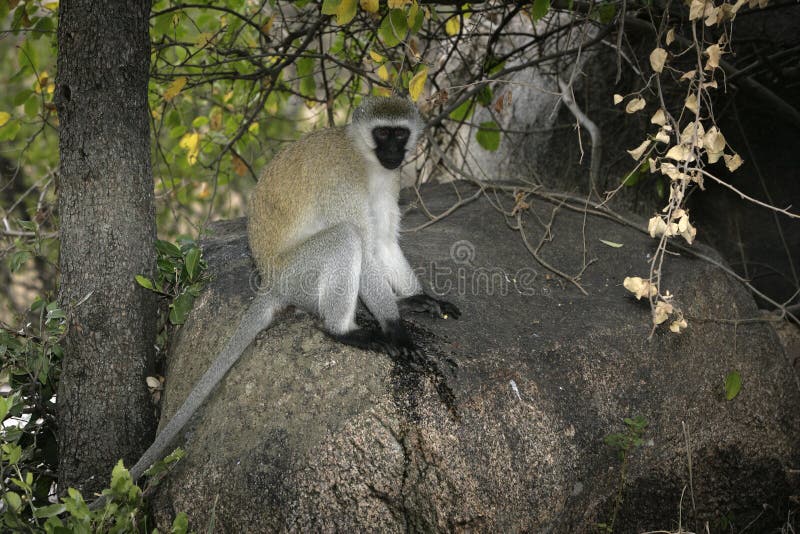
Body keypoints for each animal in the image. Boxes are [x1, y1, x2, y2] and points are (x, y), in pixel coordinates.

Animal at [124, 96, 460, 483]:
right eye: (383, 133)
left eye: (400, 133)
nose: (393, 151)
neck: (365, 157)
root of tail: (270, 280)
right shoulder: (341, 179)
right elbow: (364, 245)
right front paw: (396, 330)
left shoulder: (389, 180)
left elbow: (382, 243)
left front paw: (420, 298)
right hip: (299, 275)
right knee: (345, 237)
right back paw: (343, 331)